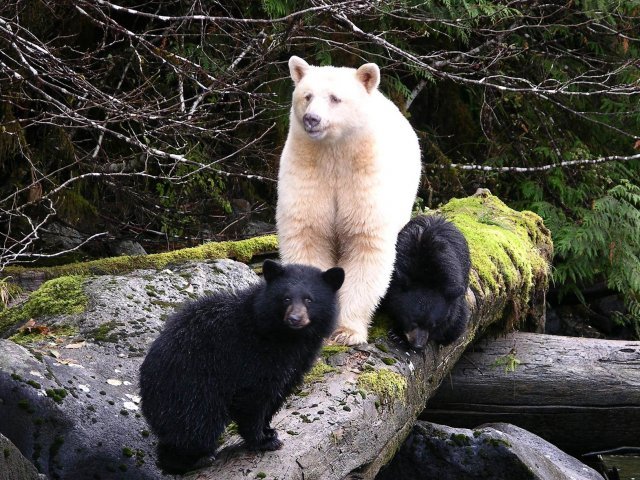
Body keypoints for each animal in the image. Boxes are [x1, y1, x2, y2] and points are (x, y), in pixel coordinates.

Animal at [138, 259, 344, 474]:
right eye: (286, 298)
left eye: (309, 300)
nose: (294, 319)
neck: (287, 337)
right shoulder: (250, 355)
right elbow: (253, 397)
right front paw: (263, 440)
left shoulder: (297, 361)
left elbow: (279, 392)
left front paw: (268, 431)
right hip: (190, 387)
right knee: (196, 423)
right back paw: (192, 459)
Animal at [276, 55, 422, 346]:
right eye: (307, 96)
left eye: (335, 98)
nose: (312, 119)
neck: (335, 151)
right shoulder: (308, 171)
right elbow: (308, 234)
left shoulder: (364, 178)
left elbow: (365, 243)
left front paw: (346, 331)